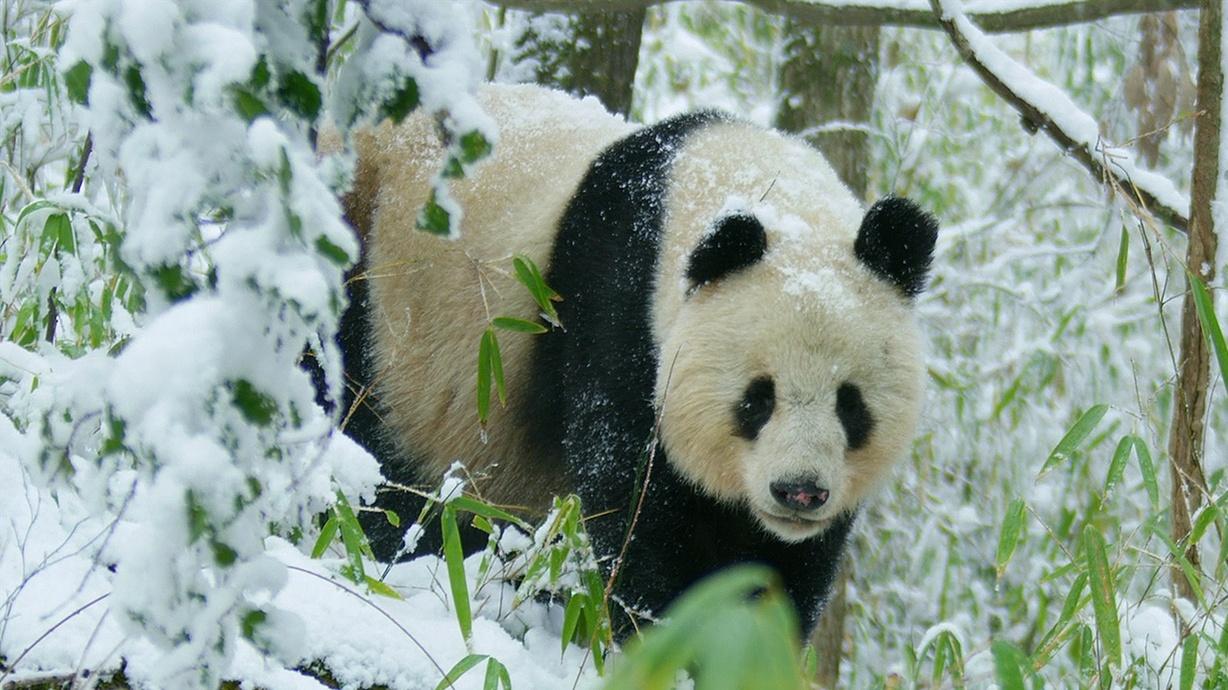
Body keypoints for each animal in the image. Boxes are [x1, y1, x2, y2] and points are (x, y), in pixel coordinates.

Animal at [334, 84, 937, 639]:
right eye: (757, 398)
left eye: (850, 404)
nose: (800, 491)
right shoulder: (617, 312)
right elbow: (637, 512)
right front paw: (664, 633)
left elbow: (785, 565)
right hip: (377, 283)